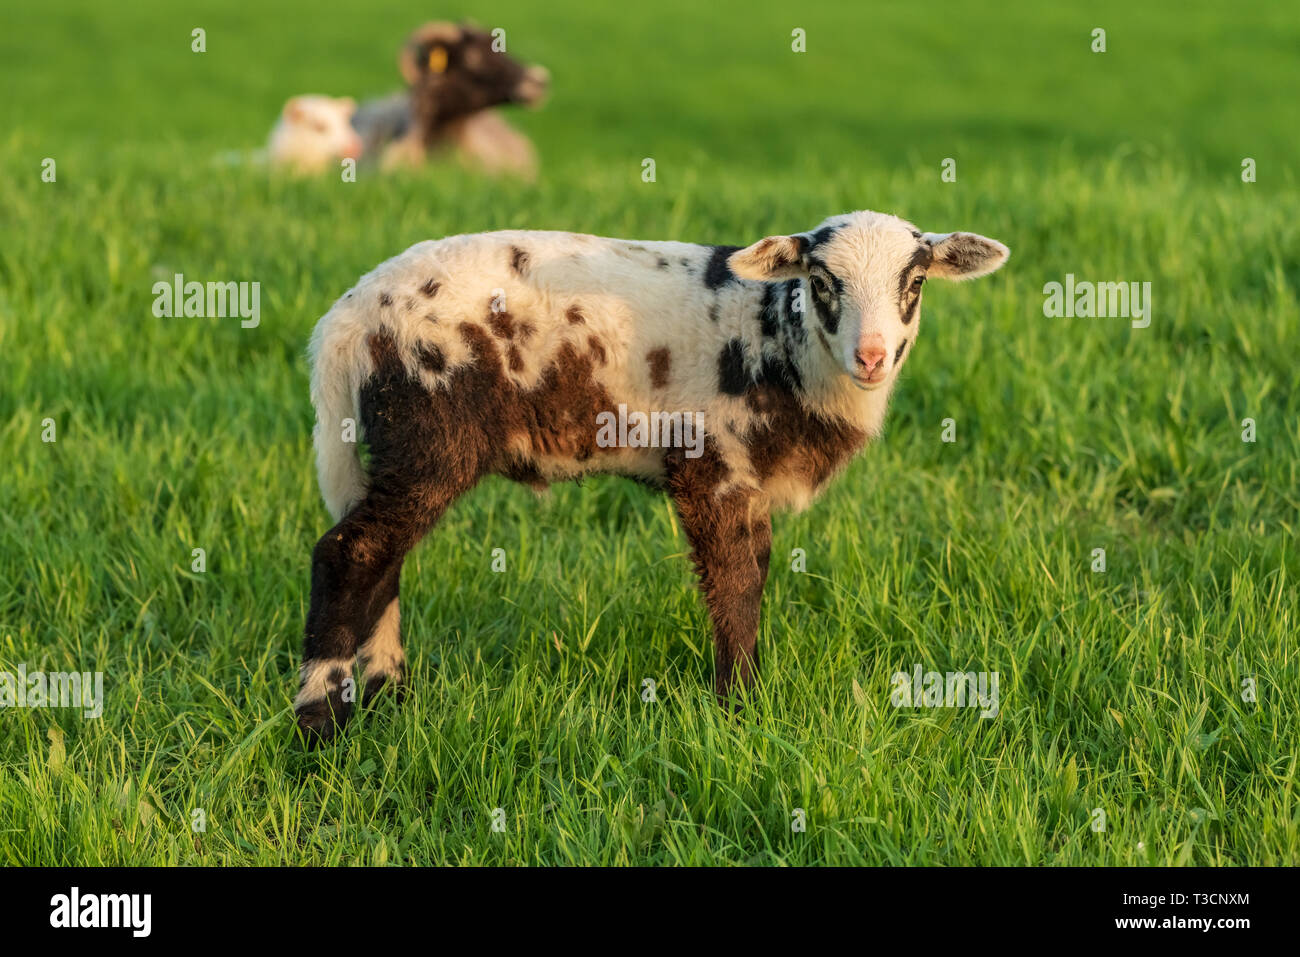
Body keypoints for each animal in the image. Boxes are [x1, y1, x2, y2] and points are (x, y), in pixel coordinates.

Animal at [296, 210, 1009, 741]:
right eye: (822, 280)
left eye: (915, 282)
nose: (872, 356)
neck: (779, 343)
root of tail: (346, 320)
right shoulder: (712, 464)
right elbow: (738, 582)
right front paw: (739, 711)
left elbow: (748, 574)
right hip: (430, 430)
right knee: (350, 553)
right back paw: (320, 722)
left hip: (400, 445)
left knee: (384, 558)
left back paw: (388, 694)